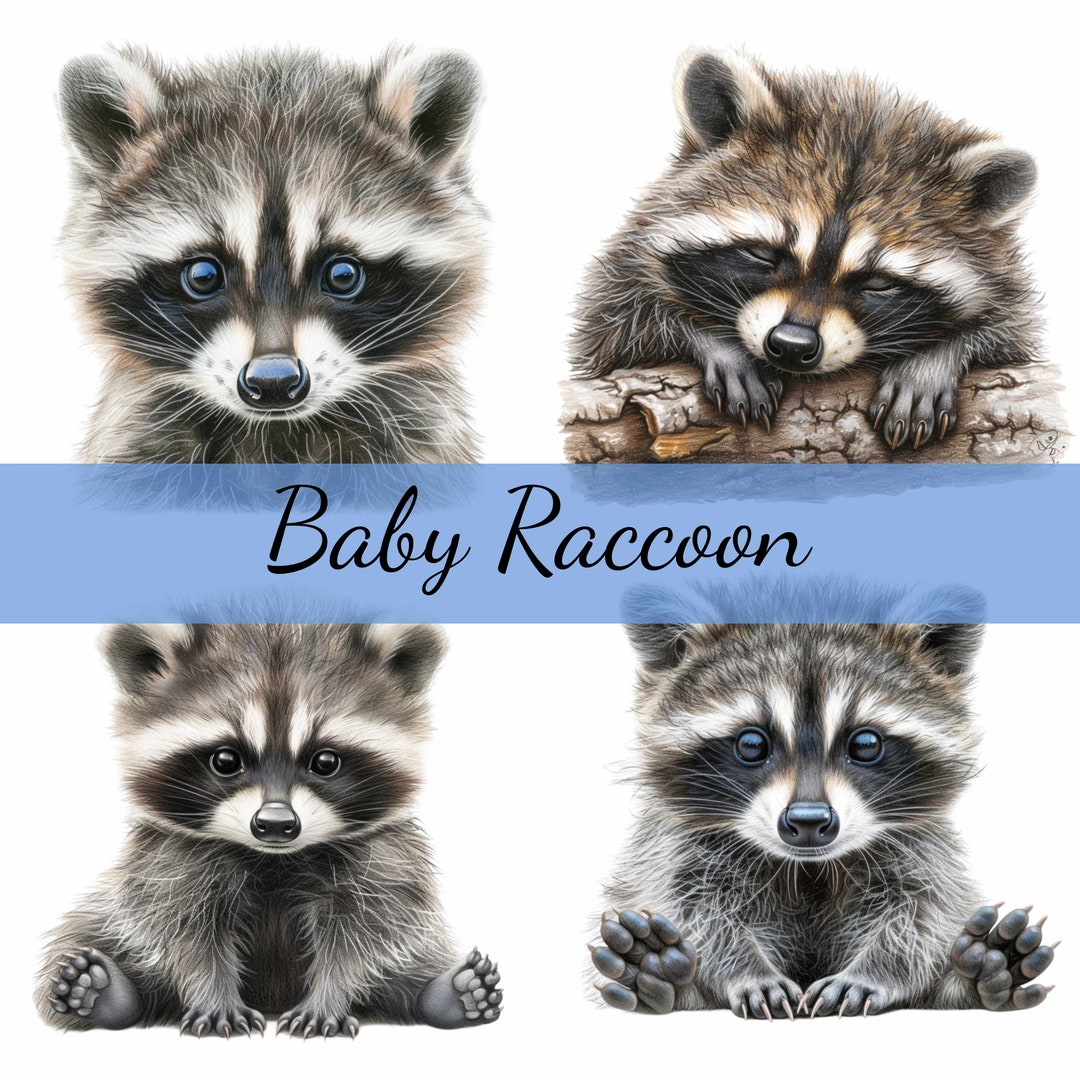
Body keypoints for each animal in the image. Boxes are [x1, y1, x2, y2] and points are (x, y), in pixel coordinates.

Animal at [37, 623, 502, 1035]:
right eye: (226, 760)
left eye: (325, 761)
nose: (276, 825)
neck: (274, 859)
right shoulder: (171, 860)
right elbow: (187, 931)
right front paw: (214, 997)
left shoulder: (380, 861)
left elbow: (362, 936)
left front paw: (329, 998)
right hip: (105, 924)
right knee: (92, 935)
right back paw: (108, 993)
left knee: (409, 955)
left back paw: (444, 993)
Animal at [570, 51, 1040, 450]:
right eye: (763, 254)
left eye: (878, 282)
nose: (793, 345)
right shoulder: (625, 268)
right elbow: (616, 324)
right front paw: (708, 337)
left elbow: (1007, 332)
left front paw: (935, 356)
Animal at [590, 619, 1056, 1016]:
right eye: (751, 744)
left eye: (866, 743)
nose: (809, 821)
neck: (808, 868)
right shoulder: (680, 846)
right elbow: (698, 906)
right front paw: (746, 969)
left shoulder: (917, 844)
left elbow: (921, 911)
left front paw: (874, 971)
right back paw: (657, 971)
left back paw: (982, 971)